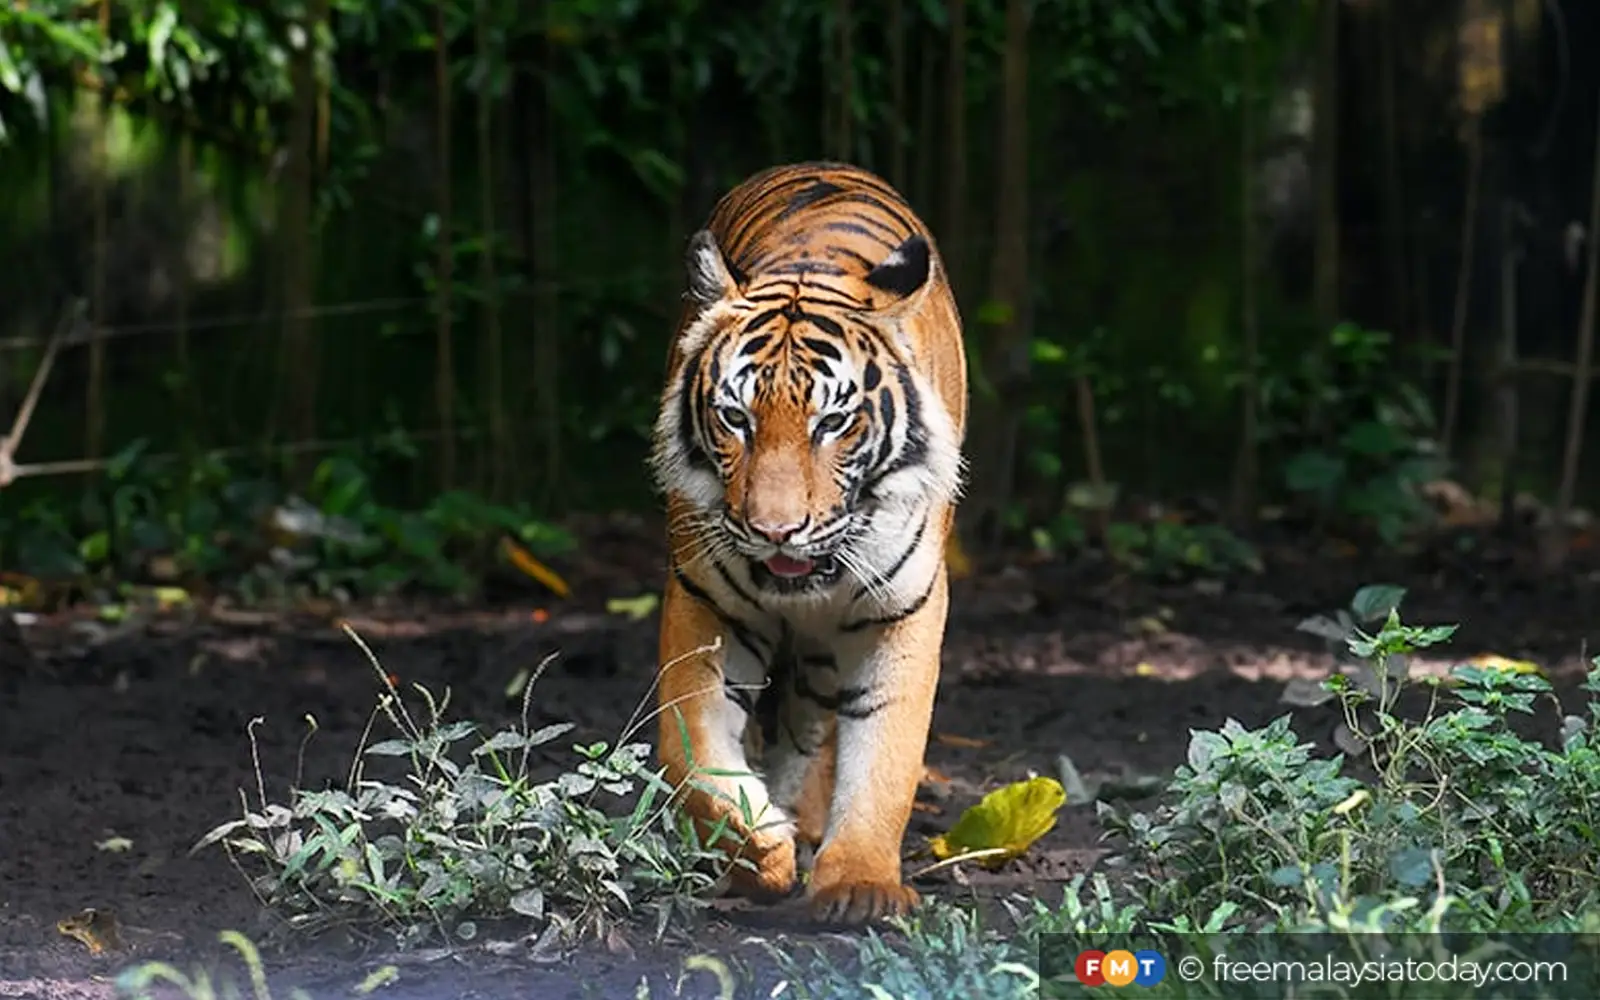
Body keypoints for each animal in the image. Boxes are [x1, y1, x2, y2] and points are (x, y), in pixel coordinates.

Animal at [648, 161, 968, 925]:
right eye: (735, 418)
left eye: (833, 423)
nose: (774, 530)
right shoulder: (704, 601)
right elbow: (690, 752)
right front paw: (759, 853)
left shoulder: (904, 611)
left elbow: (886, 755)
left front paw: (858, 883)